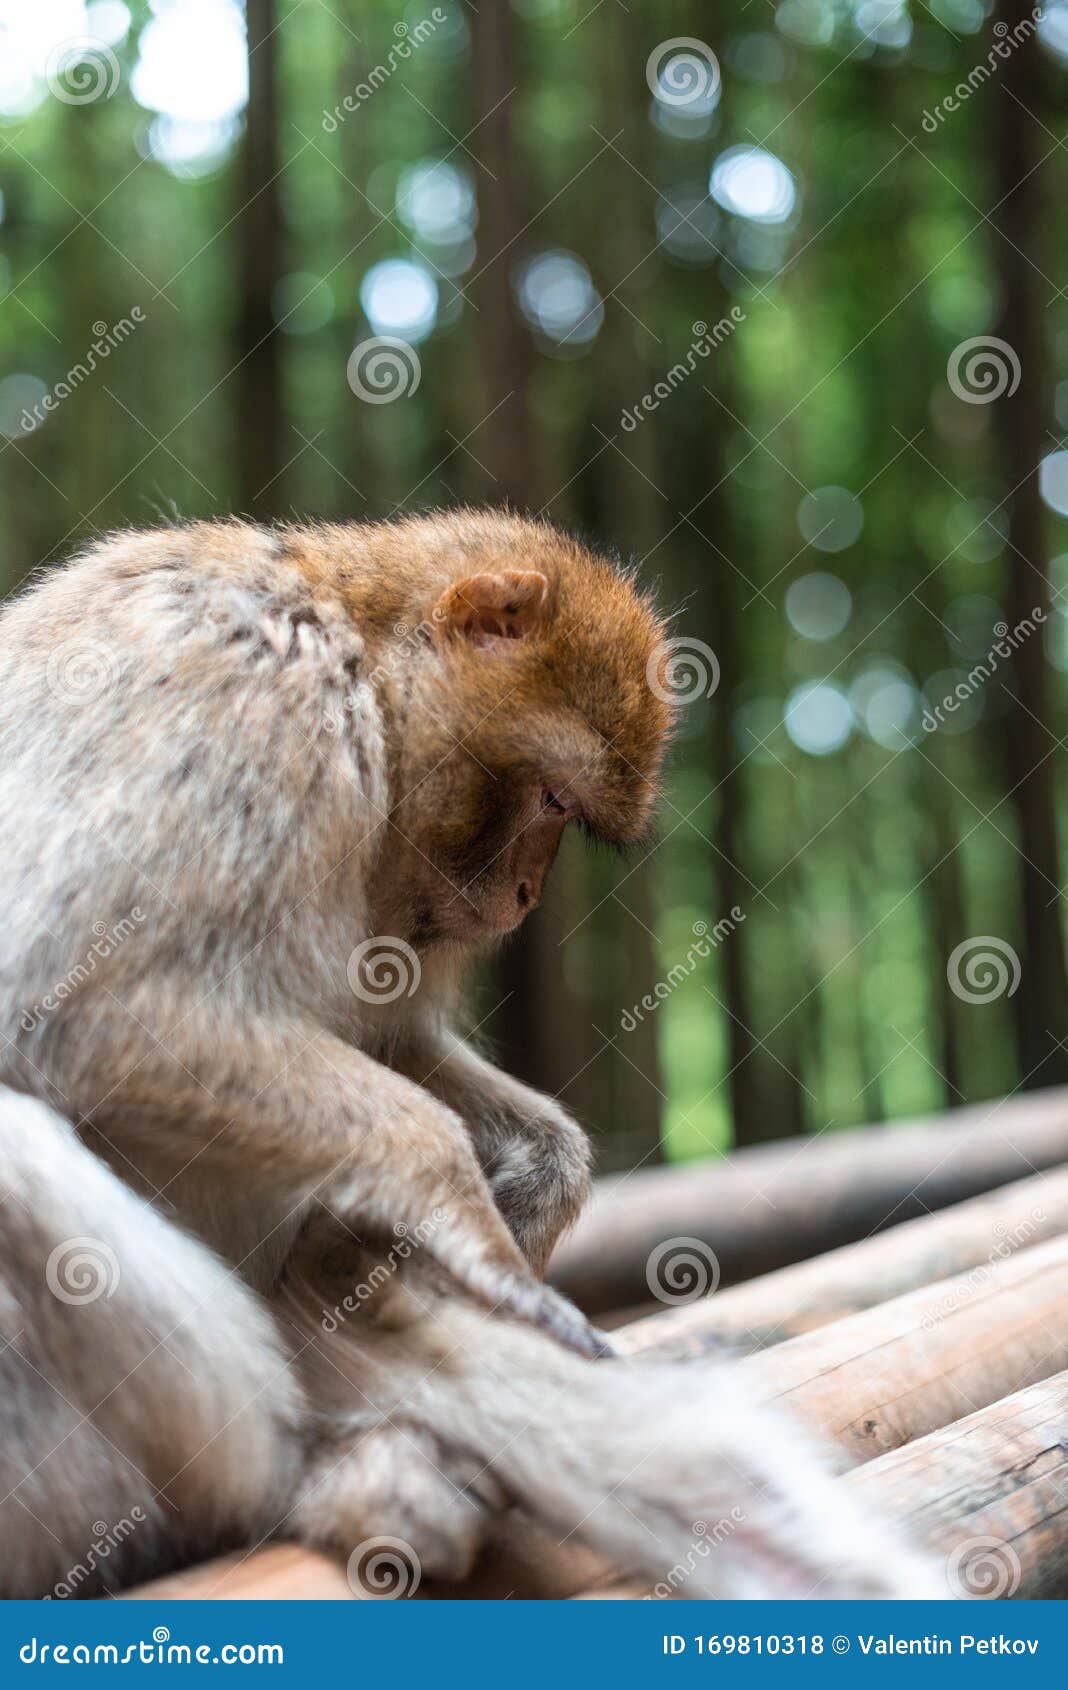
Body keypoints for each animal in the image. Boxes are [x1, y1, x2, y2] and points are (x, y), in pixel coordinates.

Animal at [0, 511, 933, 1597]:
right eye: (551, 800)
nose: (526, 894)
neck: (355, 658)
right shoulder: (247, 695)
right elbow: (77, 996)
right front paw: (465, 1219)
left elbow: (390, 1038)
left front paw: (532, 1183)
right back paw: (298, 1478)